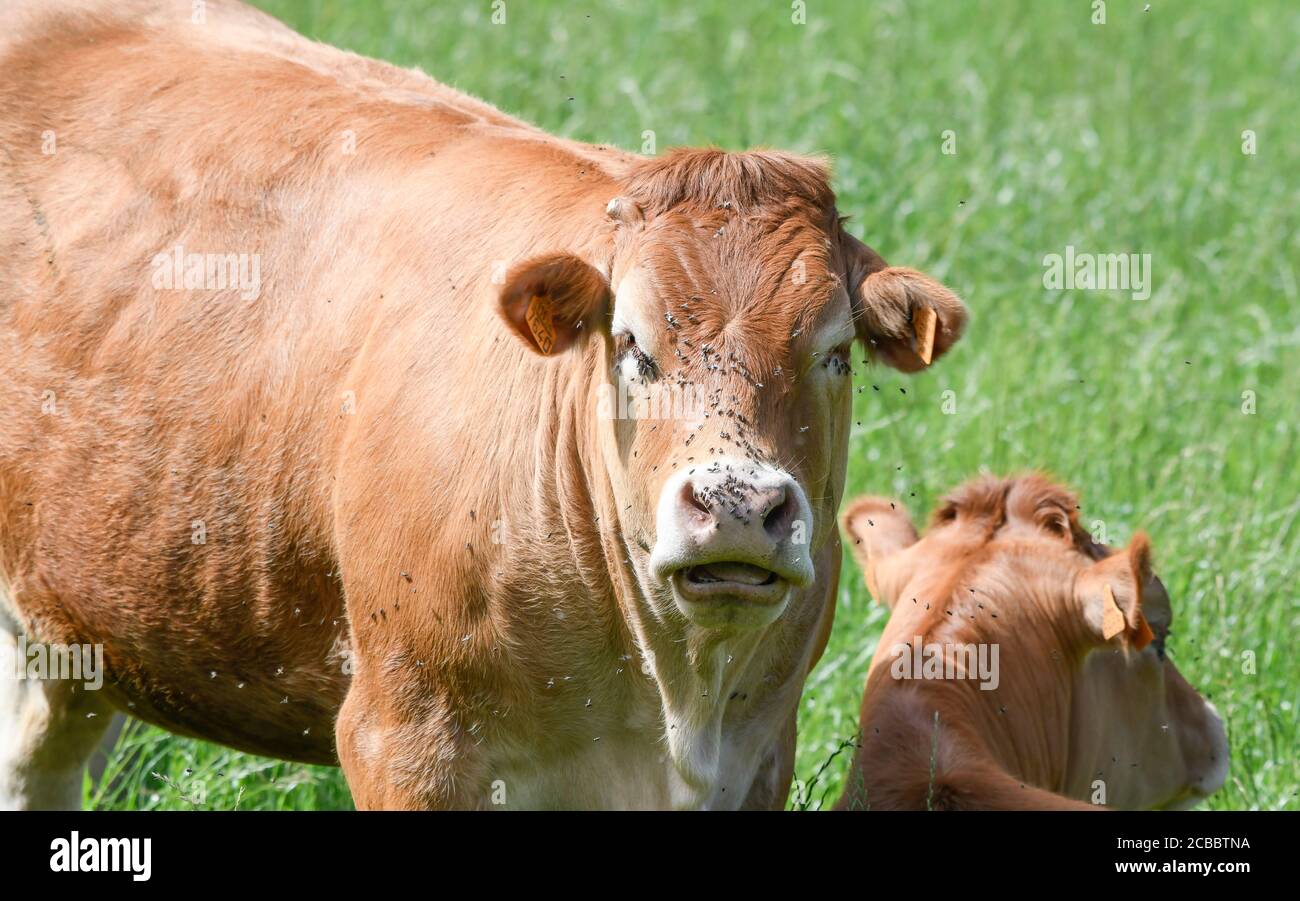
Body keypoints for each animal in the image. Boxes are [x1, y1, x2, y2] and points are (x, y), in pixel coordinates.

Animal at [0, 0, 967, 809]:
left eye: (834, 352)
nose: (737, 505)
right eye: (631, 344)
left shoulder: (759, 754)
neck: (670, 699)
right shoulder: (404, 742)